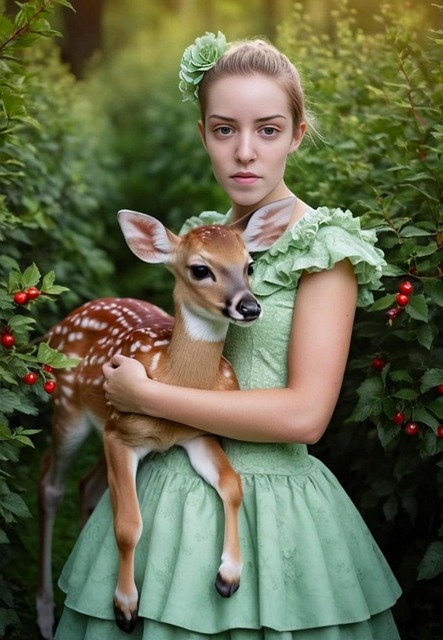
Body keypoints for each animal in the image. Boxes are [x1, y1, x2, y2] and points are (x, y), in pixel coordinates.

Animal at [36, 197, 295, 638]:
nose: (249, 306)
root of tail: (60, 324)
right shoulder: (120, 434)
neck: (172, 375)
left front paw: (229, 577)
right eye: (200, 269)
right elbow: (128, 524)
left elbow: (232, 485)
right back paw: (45, 612)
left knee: (87, 486)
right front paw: (125, 608)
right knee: (49, 485)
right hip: (68, 408)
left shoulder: (197, 435)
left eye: (249, 265)